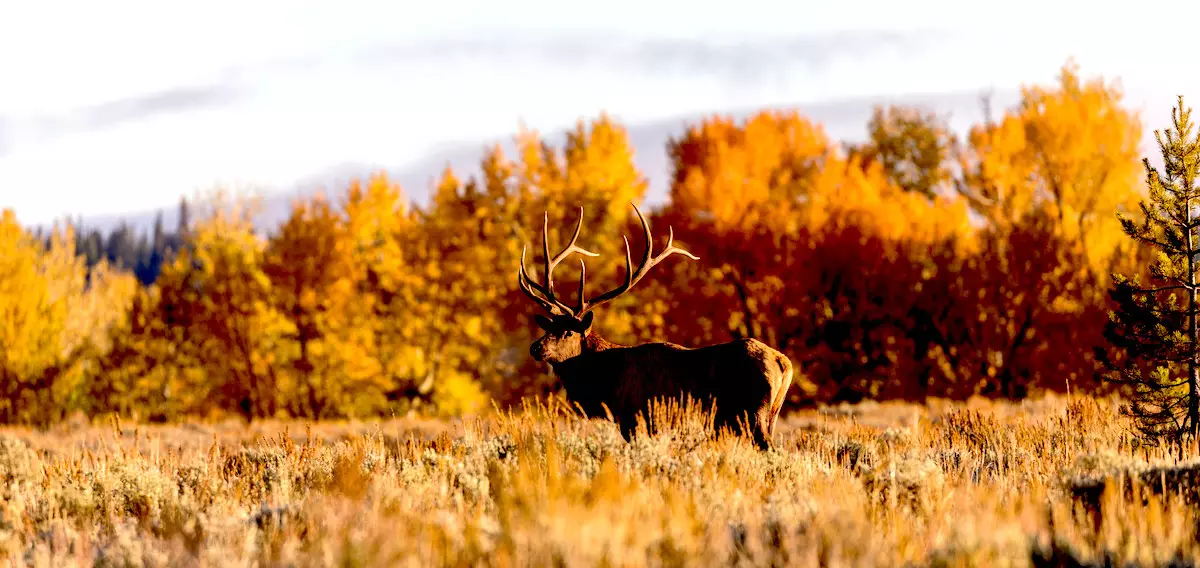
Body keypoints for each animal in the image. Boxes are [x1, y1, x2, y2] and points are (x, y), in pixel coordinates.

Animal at [513, 202, 787, 446]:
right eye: (548, 328)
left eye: (569, 331)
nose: (535, 348)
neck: (606, 382)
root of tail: (783, 363)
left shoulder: (635, 418)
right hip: (770, 416)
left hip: (754, 415)